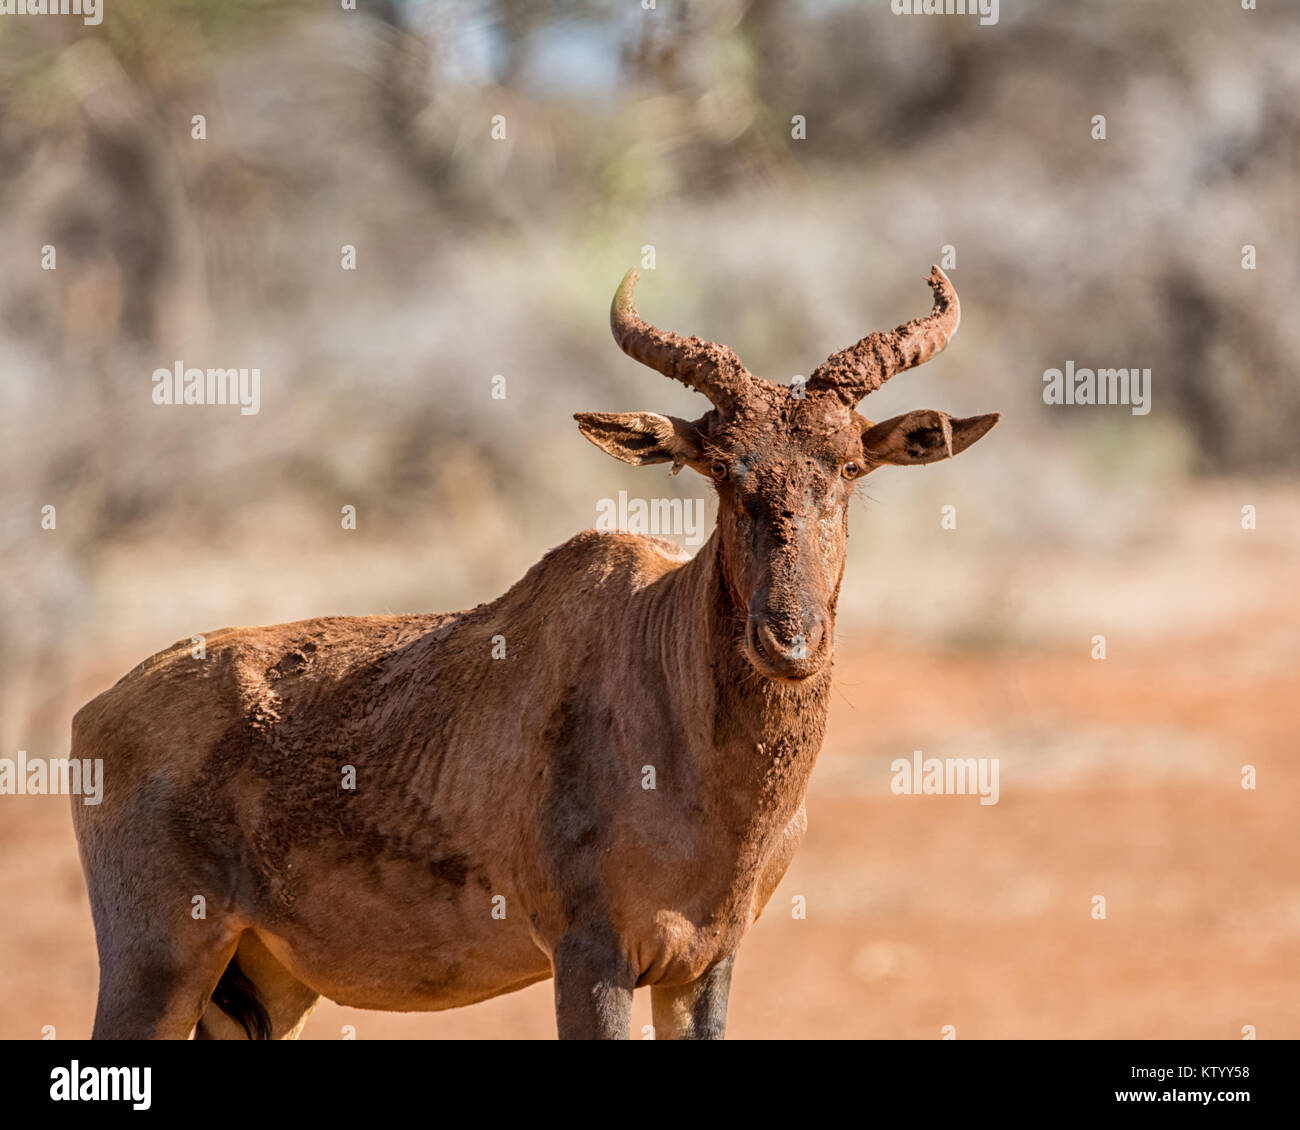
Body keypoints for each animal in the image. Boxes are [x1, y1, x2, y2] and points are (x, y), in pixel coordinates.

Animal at [71, 265, 998, 1040]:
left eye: (847, 467)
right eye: (722, 470)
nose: (788, 640)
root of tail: (96, 712)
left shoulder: (703, 963)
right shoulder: (589, 954)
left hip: (264, 983)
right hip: (156, 964)